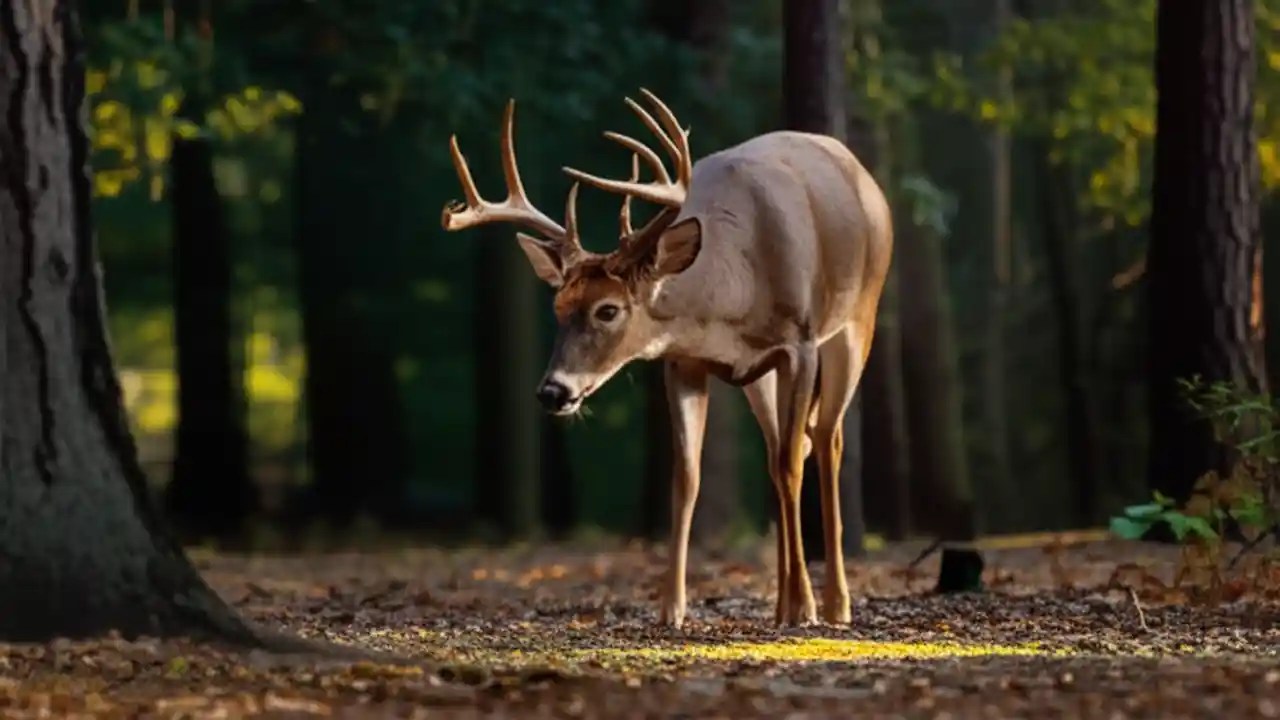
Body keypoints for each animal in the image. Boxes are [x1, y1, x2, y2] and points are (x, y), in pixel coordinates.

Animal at [441, 89, 893, 628]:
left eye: (608, 309)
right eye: (558, 307)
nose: (553, 391)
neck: (733, 288)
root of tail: (864, 175)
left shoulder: (799, 344)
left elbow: (790, 465)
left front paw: (805, 608)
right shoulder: (685, 362)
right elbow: (688, 476)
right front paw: (671, 607)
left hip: (857, 319)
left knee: (825, 440)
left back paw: (834, 602)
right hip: (759, 376)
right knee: (783, 447)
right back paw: (782, 601)